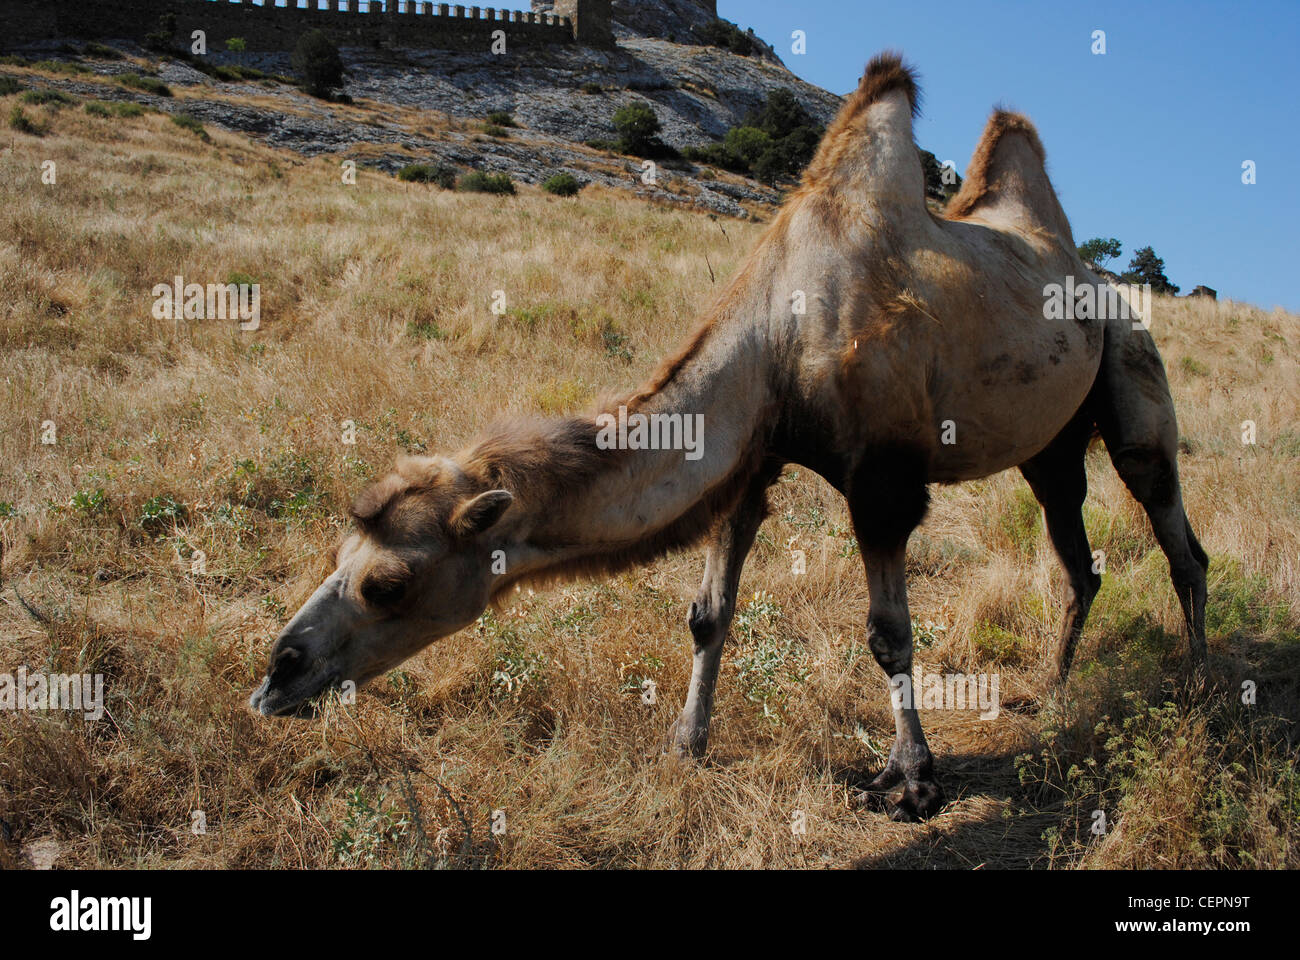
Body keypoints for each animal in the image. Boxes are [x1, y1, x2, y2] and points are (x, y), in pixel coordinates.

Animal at [249, 53, 1208, 821]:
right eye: (339, 553)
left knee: (1172, 526)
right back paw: (1053, 692)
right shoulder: (750, 461)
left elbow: (888, 631)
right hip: (1052, 443)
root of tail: (1094, 278)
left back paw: (1200, 687)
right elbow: (708, 612)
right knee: (1077, 553)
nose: (277, 673)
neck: (779, 333)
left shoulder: (883, 476)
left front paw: (910, 779)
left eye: (388, 583)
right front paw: (686, 742)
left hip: (1131, 366)